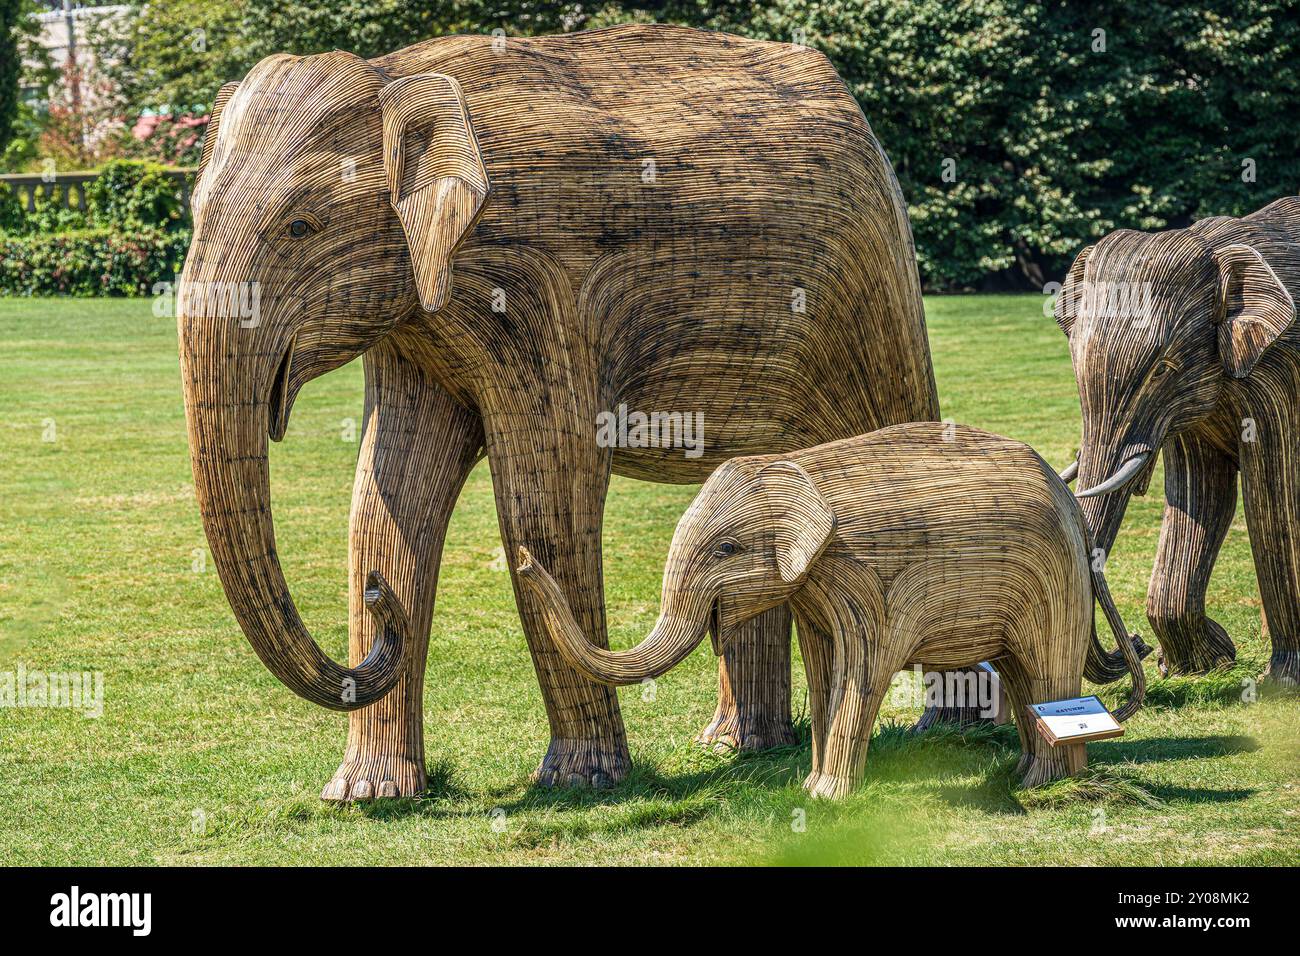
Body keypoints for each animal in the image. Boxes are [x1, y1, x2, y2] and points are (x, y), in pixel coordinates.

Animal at [177, 23, 943, 799]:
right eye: (193, 213)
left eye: (301, 224)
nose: (372, 601)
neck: (396, 75)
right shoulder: (419, 310)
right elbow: (385, 499)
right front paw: (364, 795)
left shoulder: (540, 284)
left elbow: (544, 496)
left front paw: (580, 781)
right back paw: (739, 745)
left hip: (871, 283)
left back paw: (943, 731)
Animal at [517, 423, 1146, 797]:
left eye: (727, 549)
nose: (523, 558)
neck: (794, 466)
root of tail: (1070, 501)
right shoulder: (813, 584)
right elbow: (822, 666)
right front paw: (811, 788)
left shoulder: (866, 580)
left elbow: (863, 668)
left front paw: (827, 800)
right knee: (1020, 673)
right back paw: (1020, 776)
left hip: (1053, 579)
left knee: (1045, 668)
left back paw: (1042, 785)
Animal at [1056, 196, 1300, 686]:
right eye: (1076, 364)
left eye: (1161, 369)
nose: (1135, 644)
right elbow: (1201, 495)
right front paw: (1202, 664)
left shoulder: (1279, 373)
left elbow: (1272, 496)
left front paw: (1282, 683)